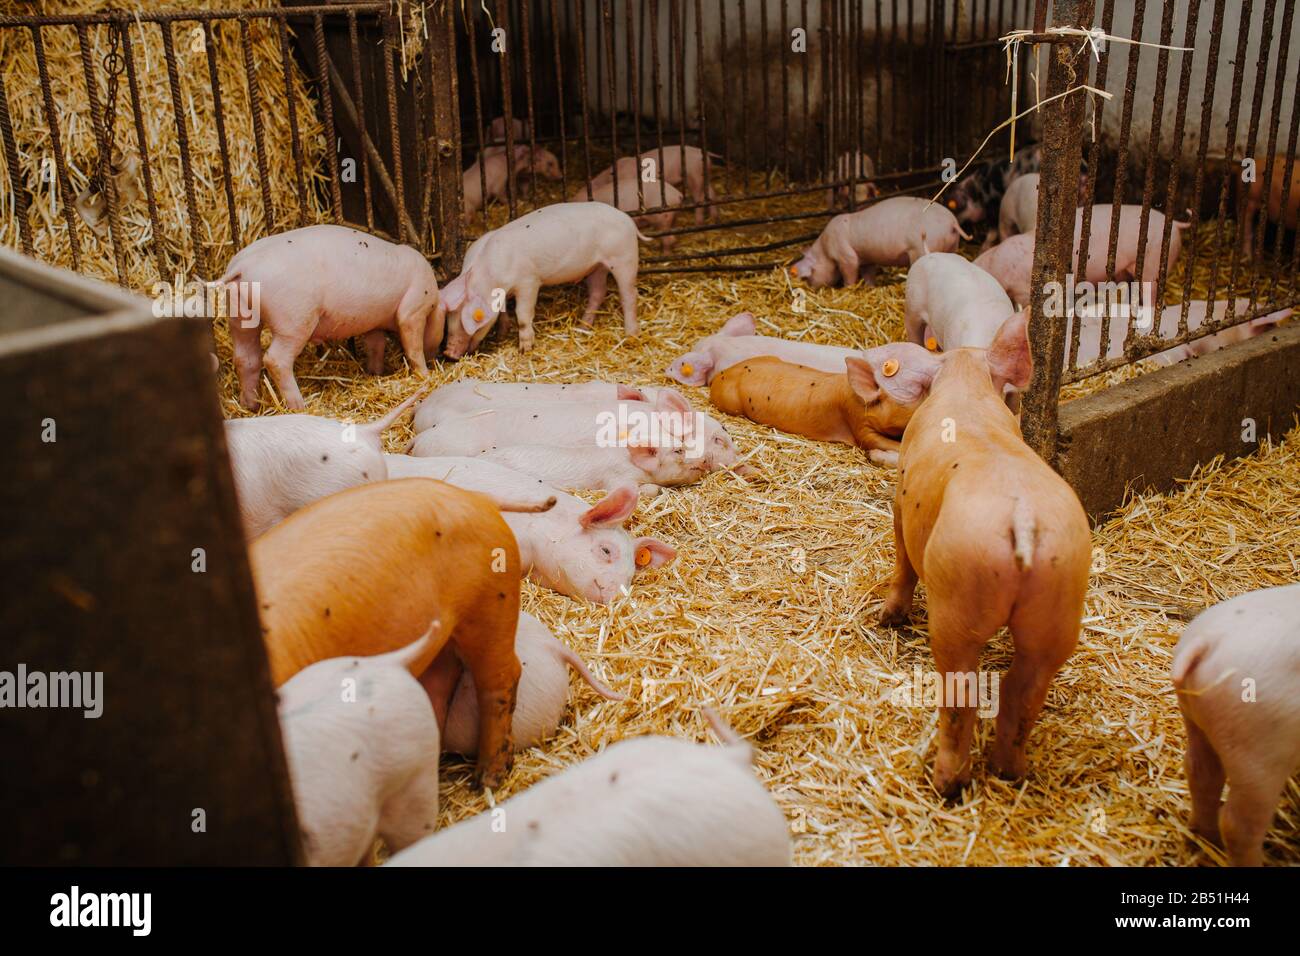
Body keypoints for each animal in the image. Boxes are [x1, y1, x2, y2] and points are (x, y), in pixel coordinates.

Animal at [222, 224, 441, 411]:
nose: (435, 359)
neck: (434, 304)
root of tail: (242, 267)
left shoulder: (374, 323)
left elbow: (376, 345)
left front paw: (376, 372)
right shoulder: (415, 308)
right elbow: (413, 345)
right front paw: (426, 375)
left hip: (239, 315)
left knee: (246, 358)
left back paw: (250, 406)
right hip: (294, 319)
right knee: (275, 359)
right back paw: (299, 406)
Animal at [438, 202, 645, 358]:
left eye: (465, 325)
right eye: (449, 320)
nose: (448, 353)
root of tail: (626, 218)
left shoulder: (529, 281)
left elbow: (522, 315)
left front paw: (525, 349)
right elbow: (503, 313)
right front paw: (501, 336)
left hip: (624, 257)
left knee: (630, 294)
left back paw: (631, 335)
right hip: (596, 267)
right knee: (598, 292)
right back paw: (582, 326)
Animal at [791, 196, 969, 287]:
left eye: (809, 275)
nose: (811, 287)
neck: (825, 250)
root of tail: (952, 222)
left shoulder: (846, 256)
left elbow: (850, 272)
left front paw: (848, 288)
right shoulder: (867, 259)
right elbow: (869, 273)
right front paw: (871, 287)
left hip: (920, 248)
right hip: (952, 247)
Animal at [879, 312, 1091, 797]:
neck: (965, 382)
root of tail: (1023, 518)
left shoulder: (900, 500)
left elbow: (902, 559)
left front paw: (886, 617)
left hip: (960, 595)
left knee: (962, 695)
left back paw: (947, 785)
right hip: (1059, 599)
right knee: (1023, 690)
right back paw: (1010, 771)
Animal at [1171, 584, 1300, 866]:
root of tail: (1210, 640)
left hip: (1195, 720)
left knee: (1199, 772)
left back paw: (1207, 839)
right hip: (1260, 753)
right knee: (1237, 826)